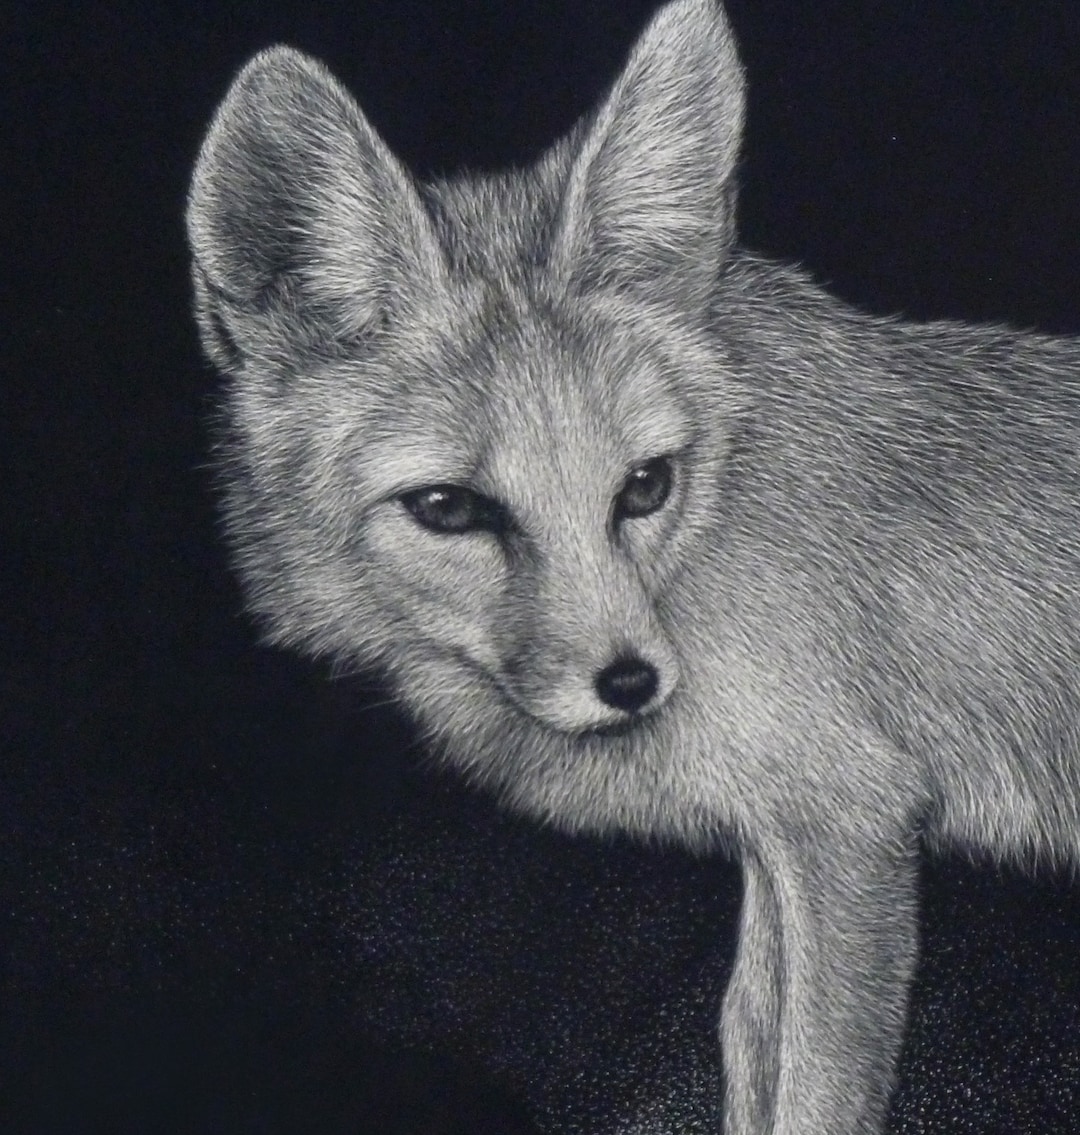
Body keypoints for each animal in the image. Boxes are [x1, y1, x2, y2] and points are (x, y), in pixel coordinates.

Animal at [185, 0, 1080, 1131]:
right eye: (448, 508)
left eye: (644, 485)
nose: (631, 683)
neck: (717, 524)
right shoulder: (775, 837)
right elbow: (750, 1043)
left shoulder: (851, 825)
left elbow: (816, 1088)